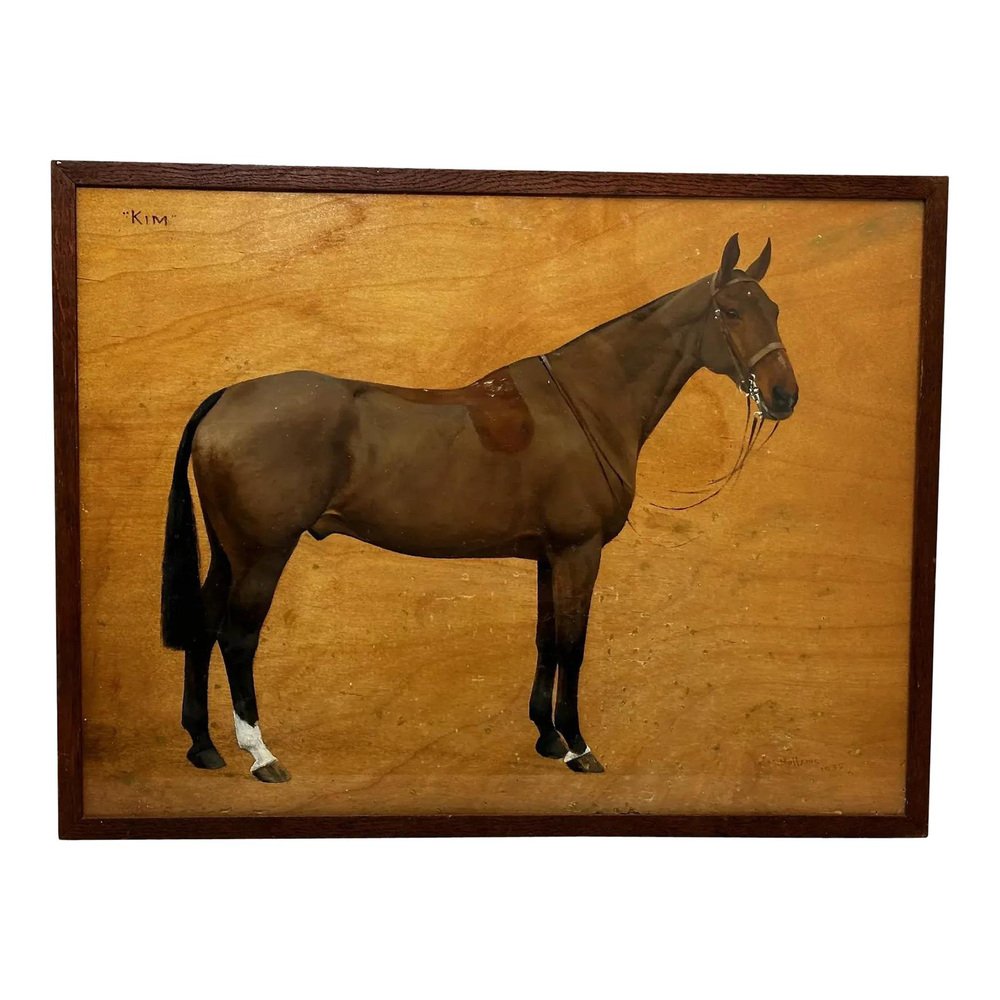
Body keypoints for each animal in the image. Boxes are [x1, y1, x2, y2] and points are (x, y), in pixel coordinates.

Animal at [161, 233, 798, 781]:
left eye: (773, 310)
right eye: (731, 312)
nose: (784, 395)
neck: (586, 403)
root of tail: (226, 398)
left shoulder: (550, 556)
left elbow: (547, 638)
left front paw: (548, 737)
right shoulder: (579, 551)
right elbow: (574, 645)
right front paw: (578, 746)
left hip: (230, 554)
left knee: (202, 627)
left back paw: (204, 747)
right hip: (263, 554)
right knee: (236, 638)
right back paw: (261, 756)